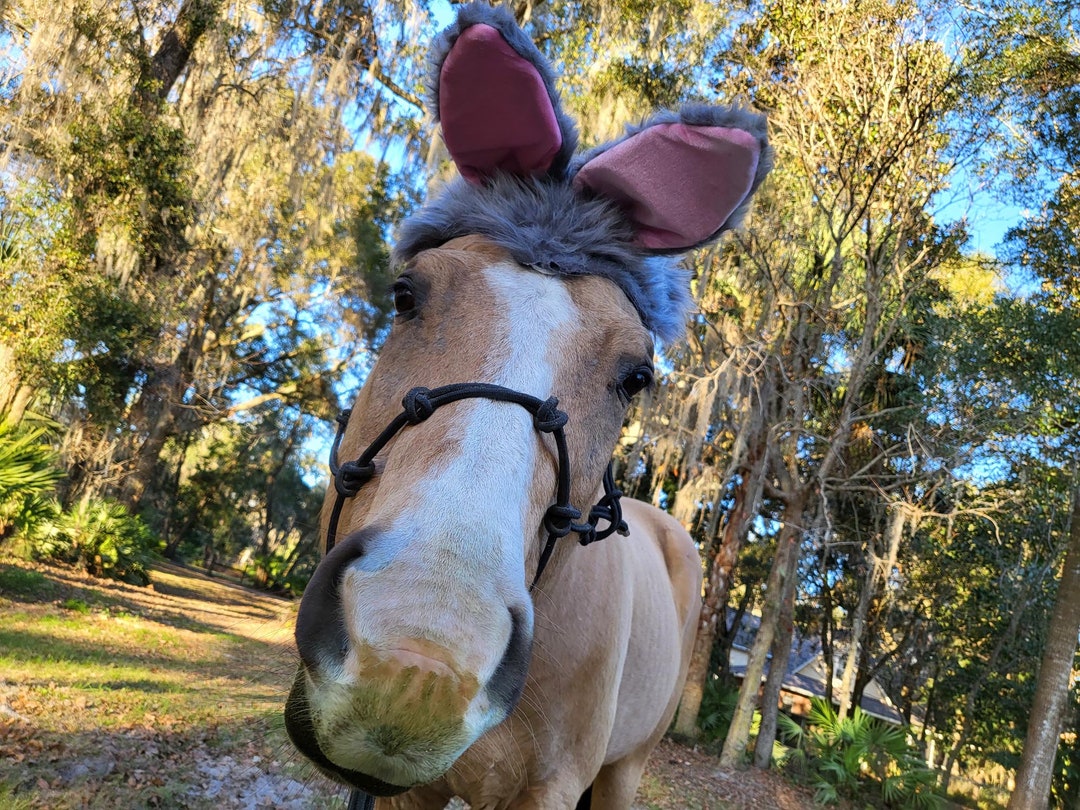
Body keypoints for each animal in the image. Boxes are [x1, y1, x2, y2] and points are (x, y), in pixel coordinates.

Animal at [285, 5, 772, 808]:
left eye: (635, 376)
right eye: (405, 295)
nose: (418, 660)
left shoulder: (554, 786)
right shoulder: (412, 791)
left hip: (624, 769)